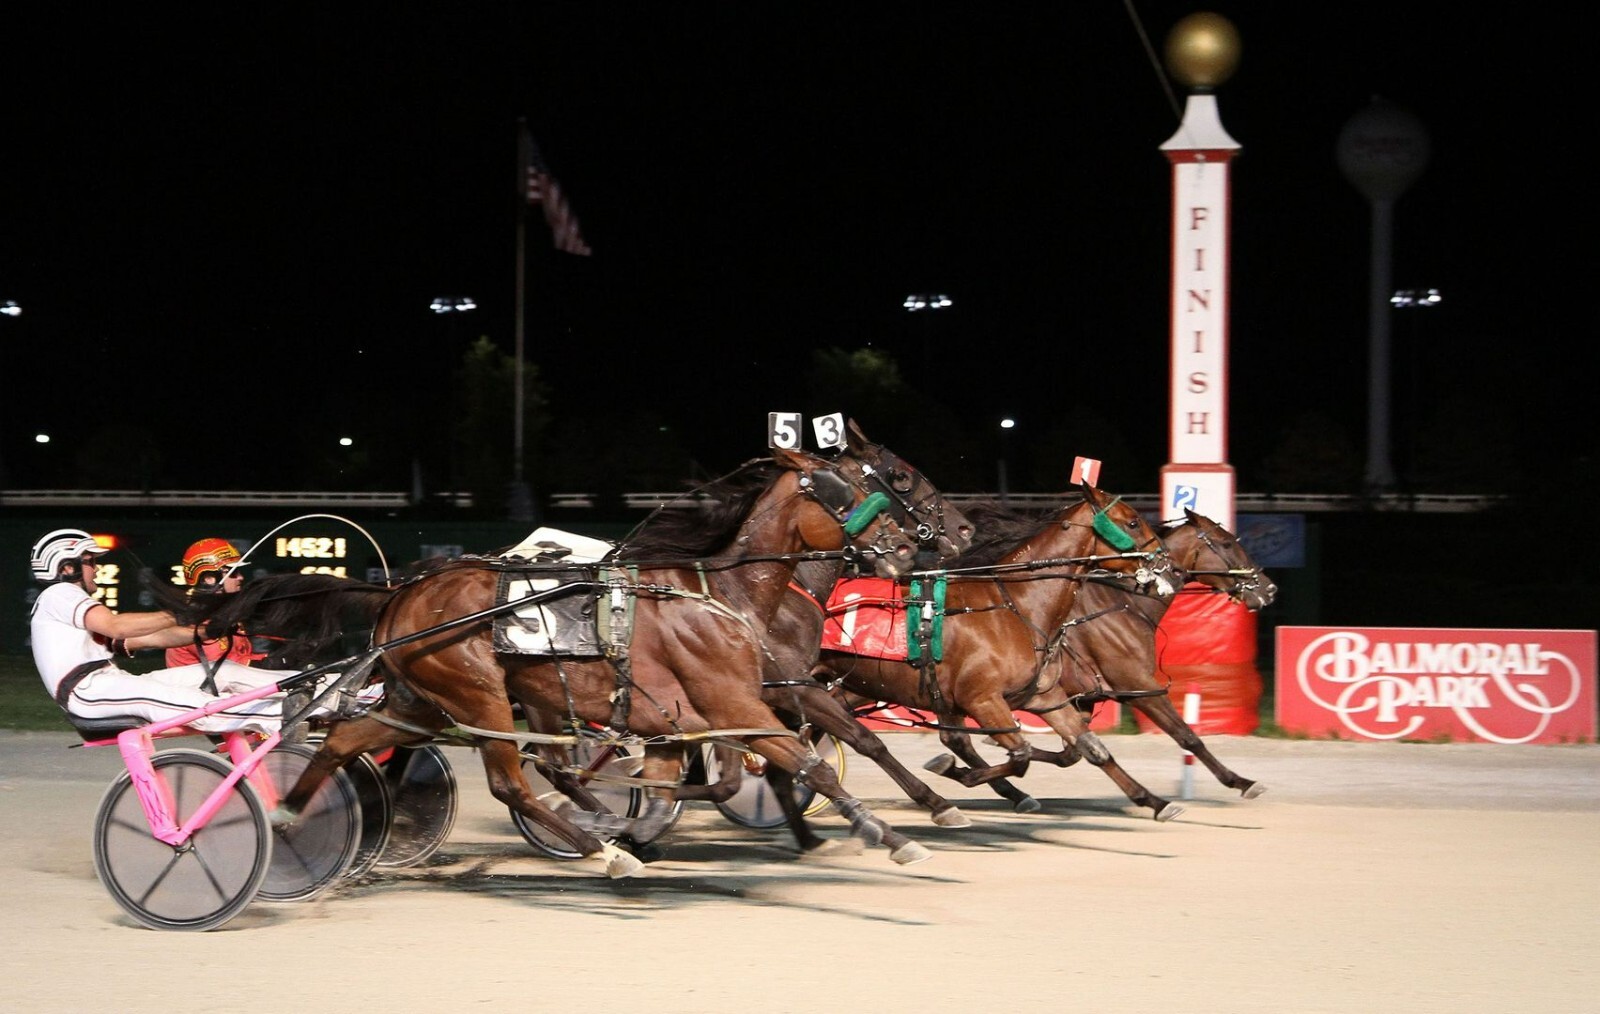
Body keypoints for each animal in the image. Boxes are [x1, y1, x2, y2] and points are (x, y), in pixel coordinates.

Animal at [190, 438, 957, 876]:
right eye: (856, 487)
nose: (914, 543)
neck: (724, 595)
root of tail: (403, 591)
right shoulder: (741, 701)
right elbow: (807, 764)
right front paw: (891, 832)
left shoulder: (710, 712)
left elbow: (731, 773)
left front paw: (642, 814)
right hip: (478, 695)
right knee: (509, 782)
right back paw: (604, 850)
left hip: (423, 700)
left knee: (346, 739)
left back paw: (289, 814)